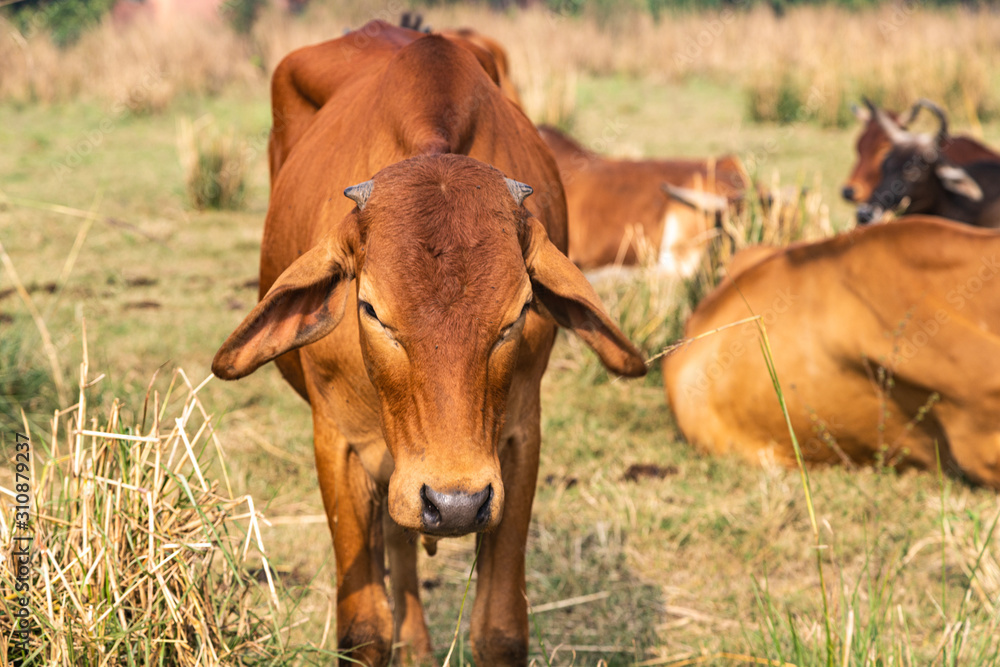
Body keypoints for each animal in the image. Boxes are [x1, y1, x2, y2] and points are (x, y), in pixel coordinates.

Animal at [212, 21, 646, 667]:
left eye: (518, 312)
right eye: (370, 309)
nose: (457, 503)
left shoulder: (519, 437)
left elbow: (500, 627)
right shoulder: (338, 443)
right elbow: (364, 628)